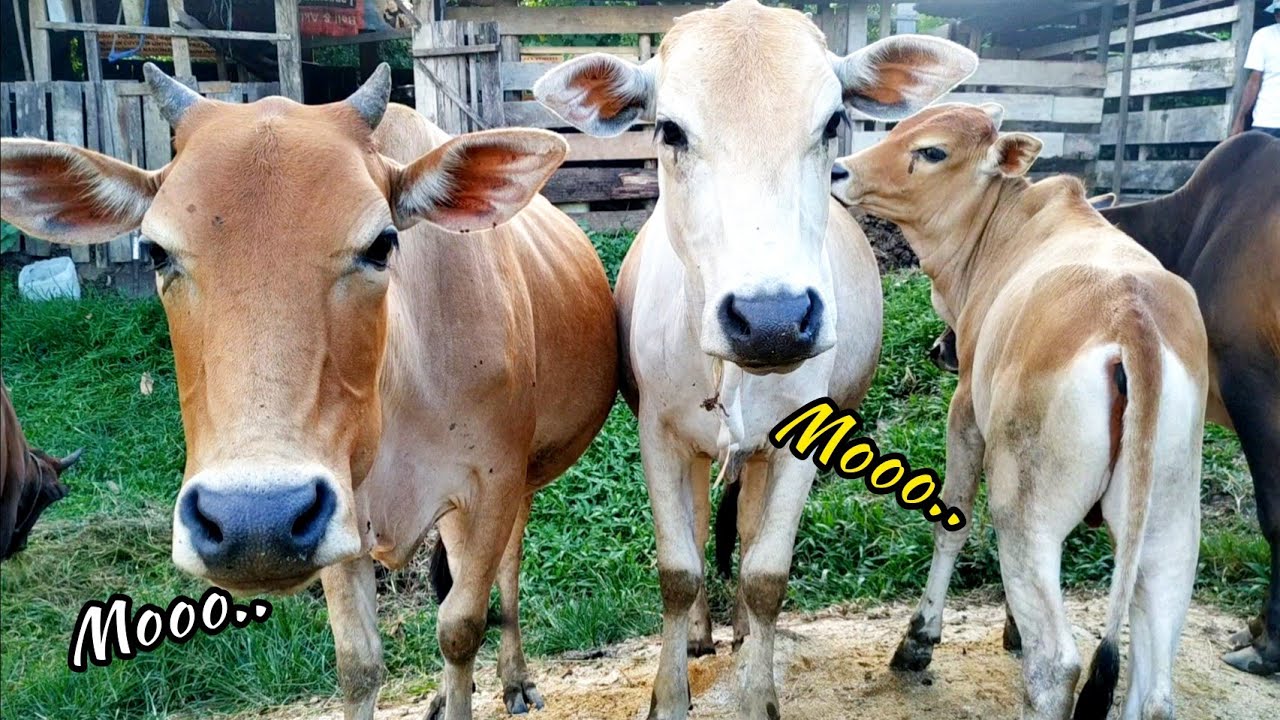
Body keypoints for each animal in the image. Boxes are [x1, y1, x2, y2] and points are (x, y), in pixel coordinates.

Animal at [533, 1, 976, 717]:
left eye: (833, 122)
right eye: (669, 129)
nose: (772, 321)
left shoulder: (804, 446)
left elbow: (766, 573)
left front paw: (757, 692)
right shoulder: (657, 435)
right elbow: (678, 570)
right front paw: (669, 694)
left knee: (743, 534)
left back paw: (740, 632)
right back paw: (699, 636)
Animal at [831, 103, 1209, 719]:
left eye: (932, 151)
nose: (840, 171)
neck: (1002, 230)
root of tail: (1132, 319)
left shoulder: (966, 414)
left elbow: (954, 520)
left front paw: (919, 640)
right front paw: (1010, 627)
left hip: (1025, 503)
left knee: (1057, 664)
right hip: (1170, 523)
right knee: (1154, 689)